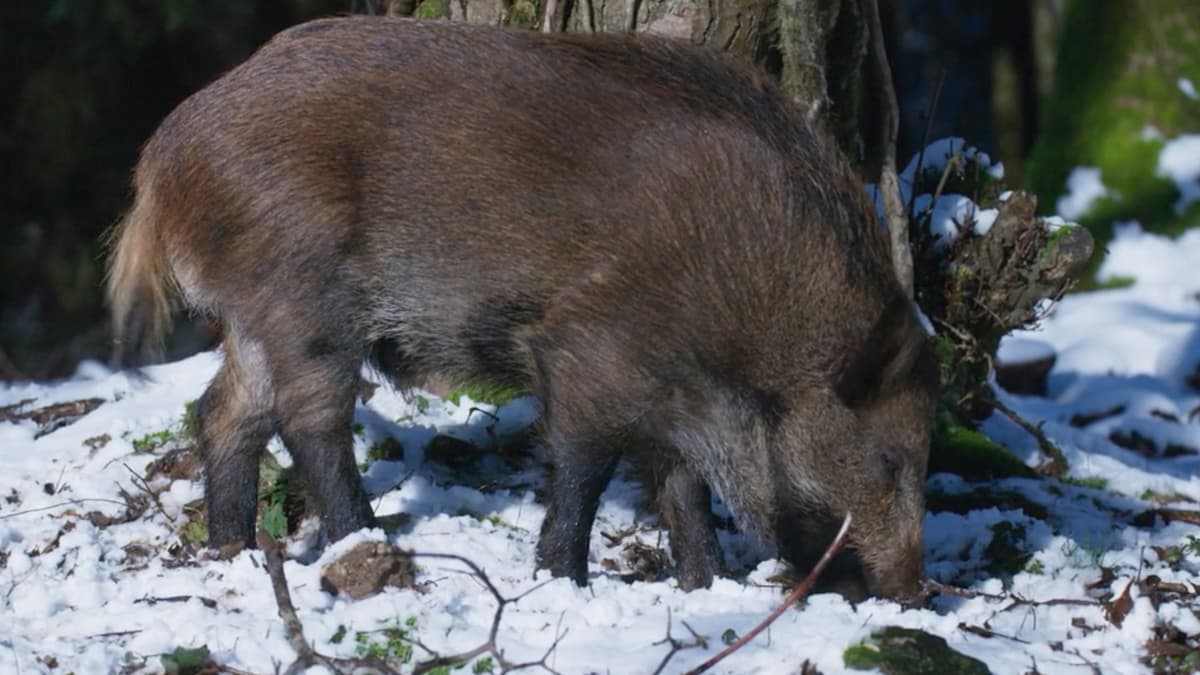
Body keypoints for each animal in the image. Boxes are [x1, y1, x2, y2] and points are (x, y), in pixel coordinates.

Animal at [104, 15, 938, 601]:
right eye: (890, 459)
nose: (912, 593)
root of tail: (160, 160)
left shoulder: (674, 401)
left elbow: (683, 489)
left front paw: (708, 586)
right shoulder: (587, 349)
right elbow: (585, 469)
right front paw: (565, 578)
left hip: (253, 315)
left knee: (225, 411)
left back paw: (234, 552)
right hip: (305, 300)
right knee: (308, 419)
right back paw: (376, 551)